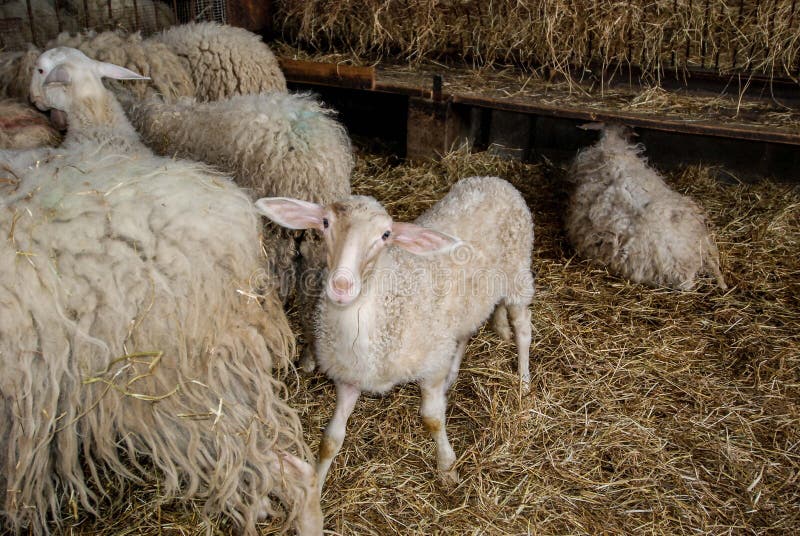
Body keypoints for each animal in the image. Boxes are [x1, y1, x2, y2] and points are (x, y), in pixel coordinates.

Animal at [255, 176, 535, 488]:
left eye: (386, 235)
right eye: (325, 223)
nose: (341, 286)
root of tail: (494, 180)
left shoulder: (431, 364)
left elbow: (432, 419)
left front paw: (447, 467)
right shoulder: (349, 378)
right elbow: (330, 440)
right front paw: (316, 483)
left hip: (517, 274)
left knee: (523, 328)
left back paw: (523, 381)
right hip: (470, 305)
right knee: (466, 331)